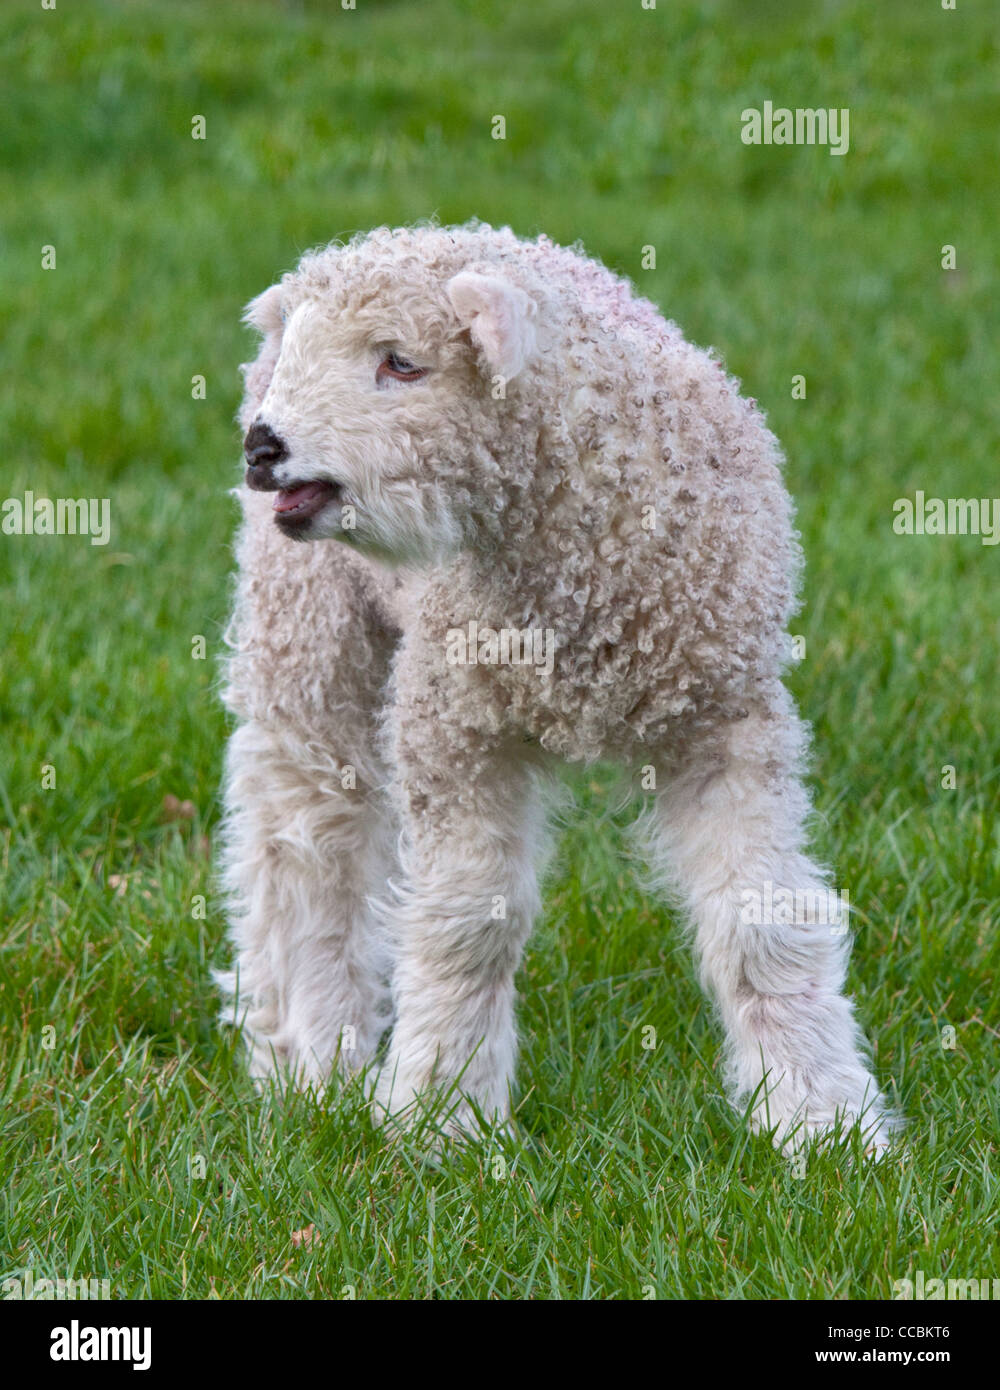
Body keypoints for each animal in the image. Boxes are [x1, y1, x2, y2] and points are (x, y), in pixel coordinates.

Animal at [218, 220, 897, 1153]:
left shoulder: (725, 716)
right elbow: (465, 928)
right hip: (304, 619)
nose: (265, 448)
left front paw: (822, 1122)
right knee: (305, 836)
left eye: (402, 363)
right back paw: (309, 1058)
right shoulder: (454, 718)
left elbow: (762, 923)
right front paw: (442, 1121)